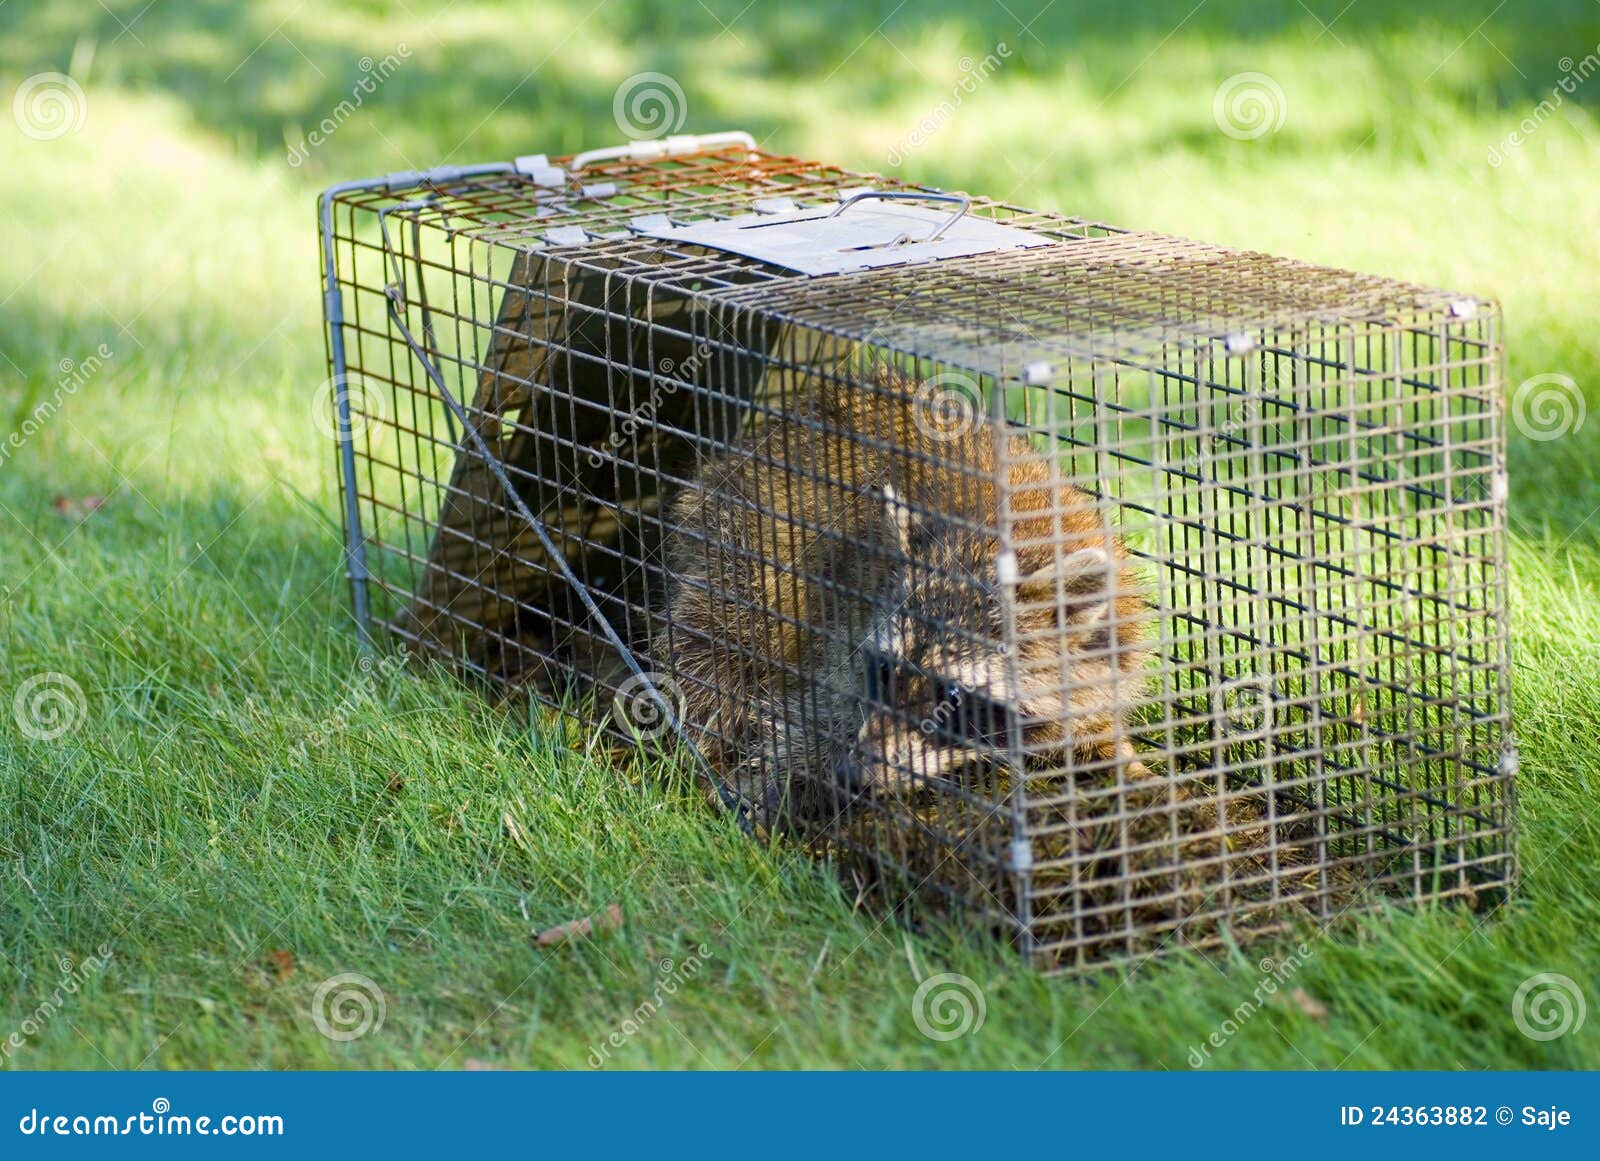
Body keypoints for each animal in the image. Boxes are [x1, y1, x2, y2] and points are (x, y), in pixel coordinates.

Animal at [659, 366, 1150, 828]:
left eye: (952, 693)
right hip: (735, 551)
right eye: (884, 669)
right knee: (714, 654)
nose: (855, 773)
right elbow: (815, 714)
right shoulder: (844, 618)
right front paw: (796, 781)